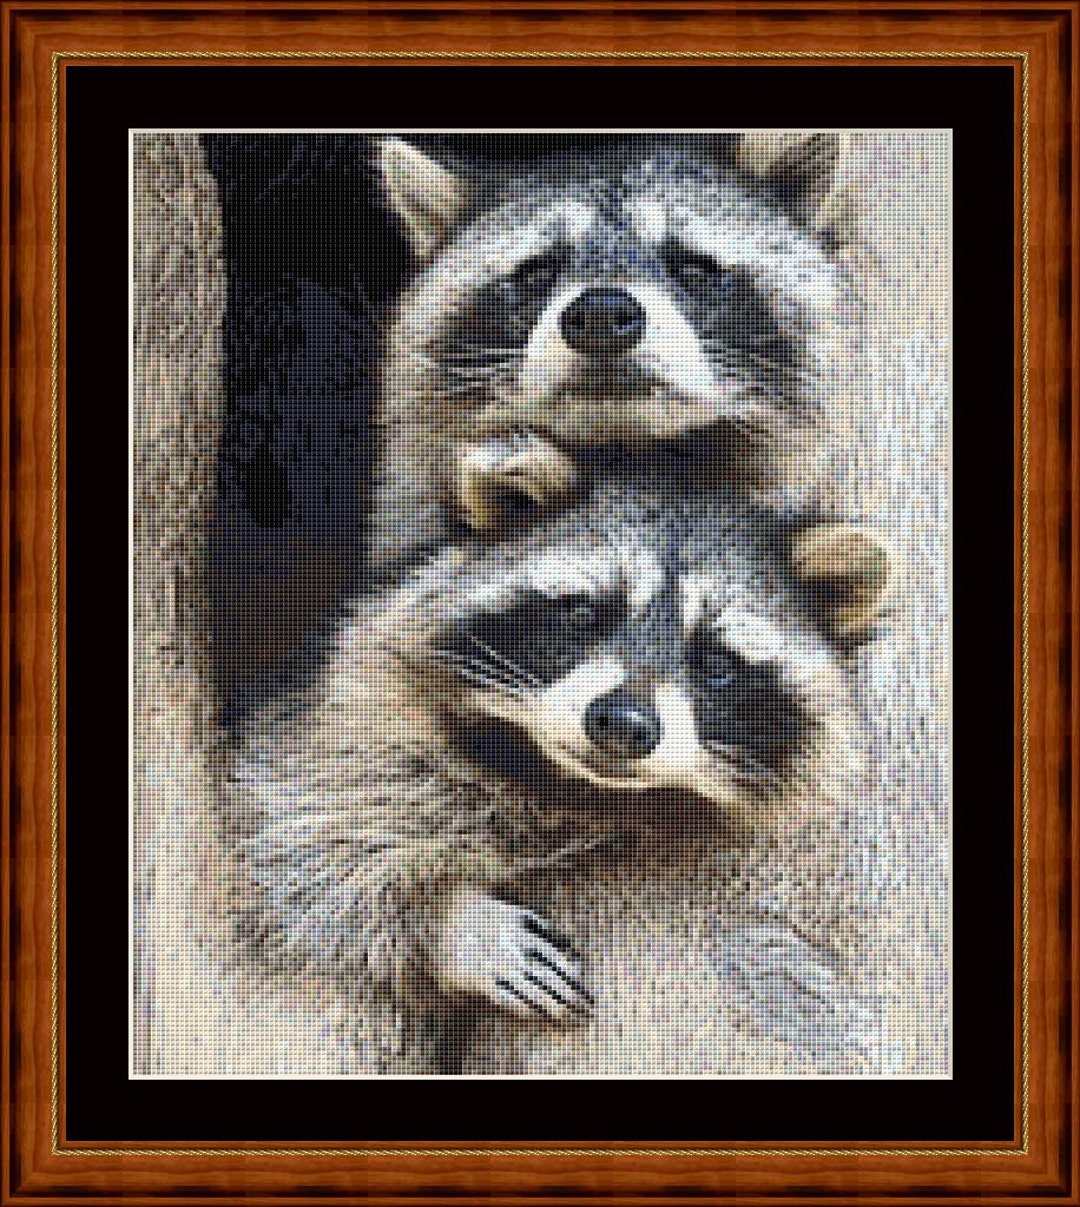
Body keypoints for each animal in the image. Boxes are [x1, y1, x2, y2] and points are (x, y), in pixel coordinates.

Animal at [227, 454, 889, 1074]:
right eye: (581, 615)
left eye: (716, 664)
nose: (623, 723)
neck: (576, 784)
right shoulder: (360, 708)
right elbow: (299, 849)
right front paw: (457, 923)